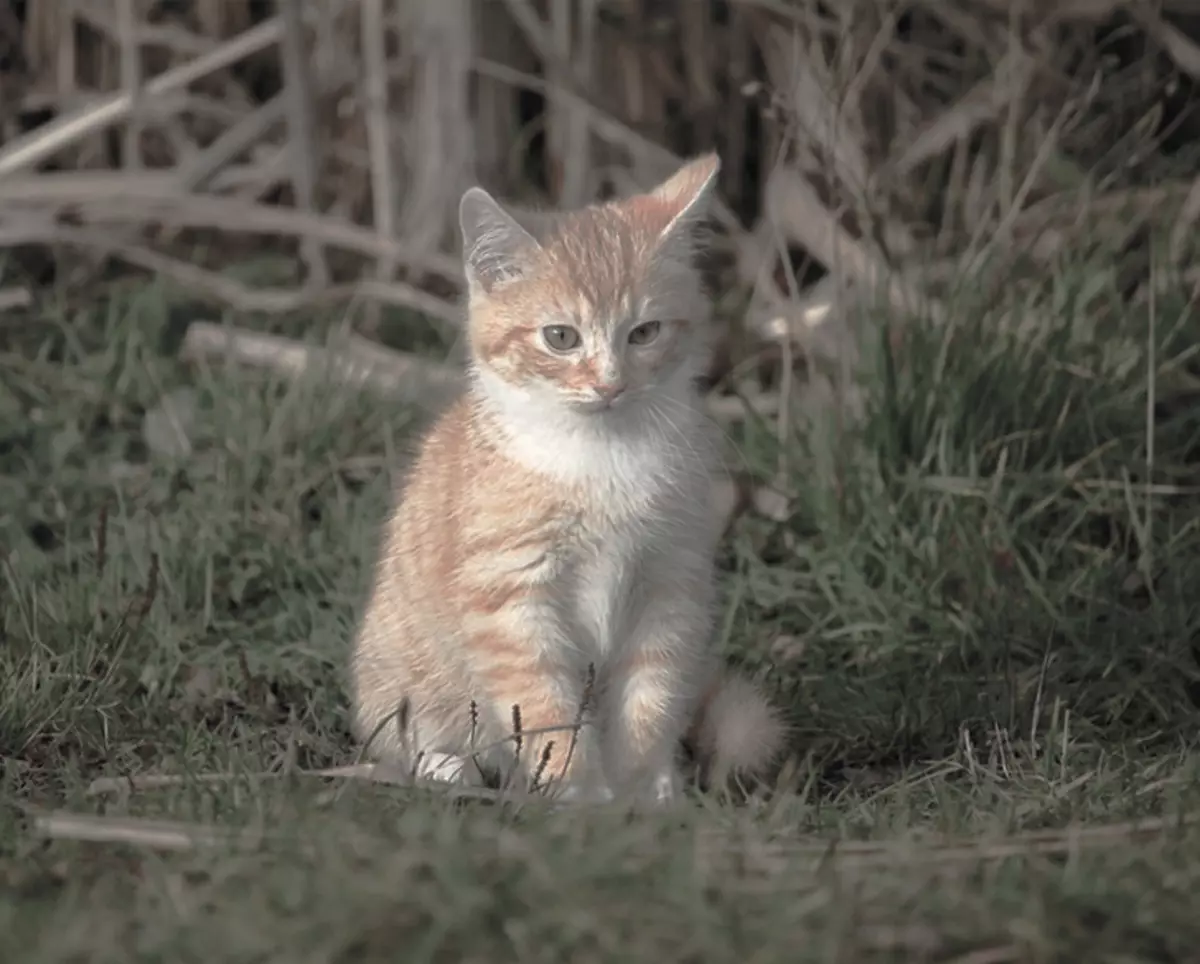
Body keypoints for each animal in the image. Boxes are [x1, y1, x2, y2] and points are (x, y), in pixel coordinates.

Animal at [350, 152, 782, 806]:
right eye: (560, 337)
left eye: (645, 332)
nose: (609, 383)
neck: (600, 460)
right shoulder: (512, 597)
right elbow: (545, 709)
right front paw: (579, 798)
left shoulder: (669, 581)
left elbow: (649, 698)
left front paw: (643, 792)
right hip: (400, 673)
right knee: (409, 730)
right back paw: (447, 767)